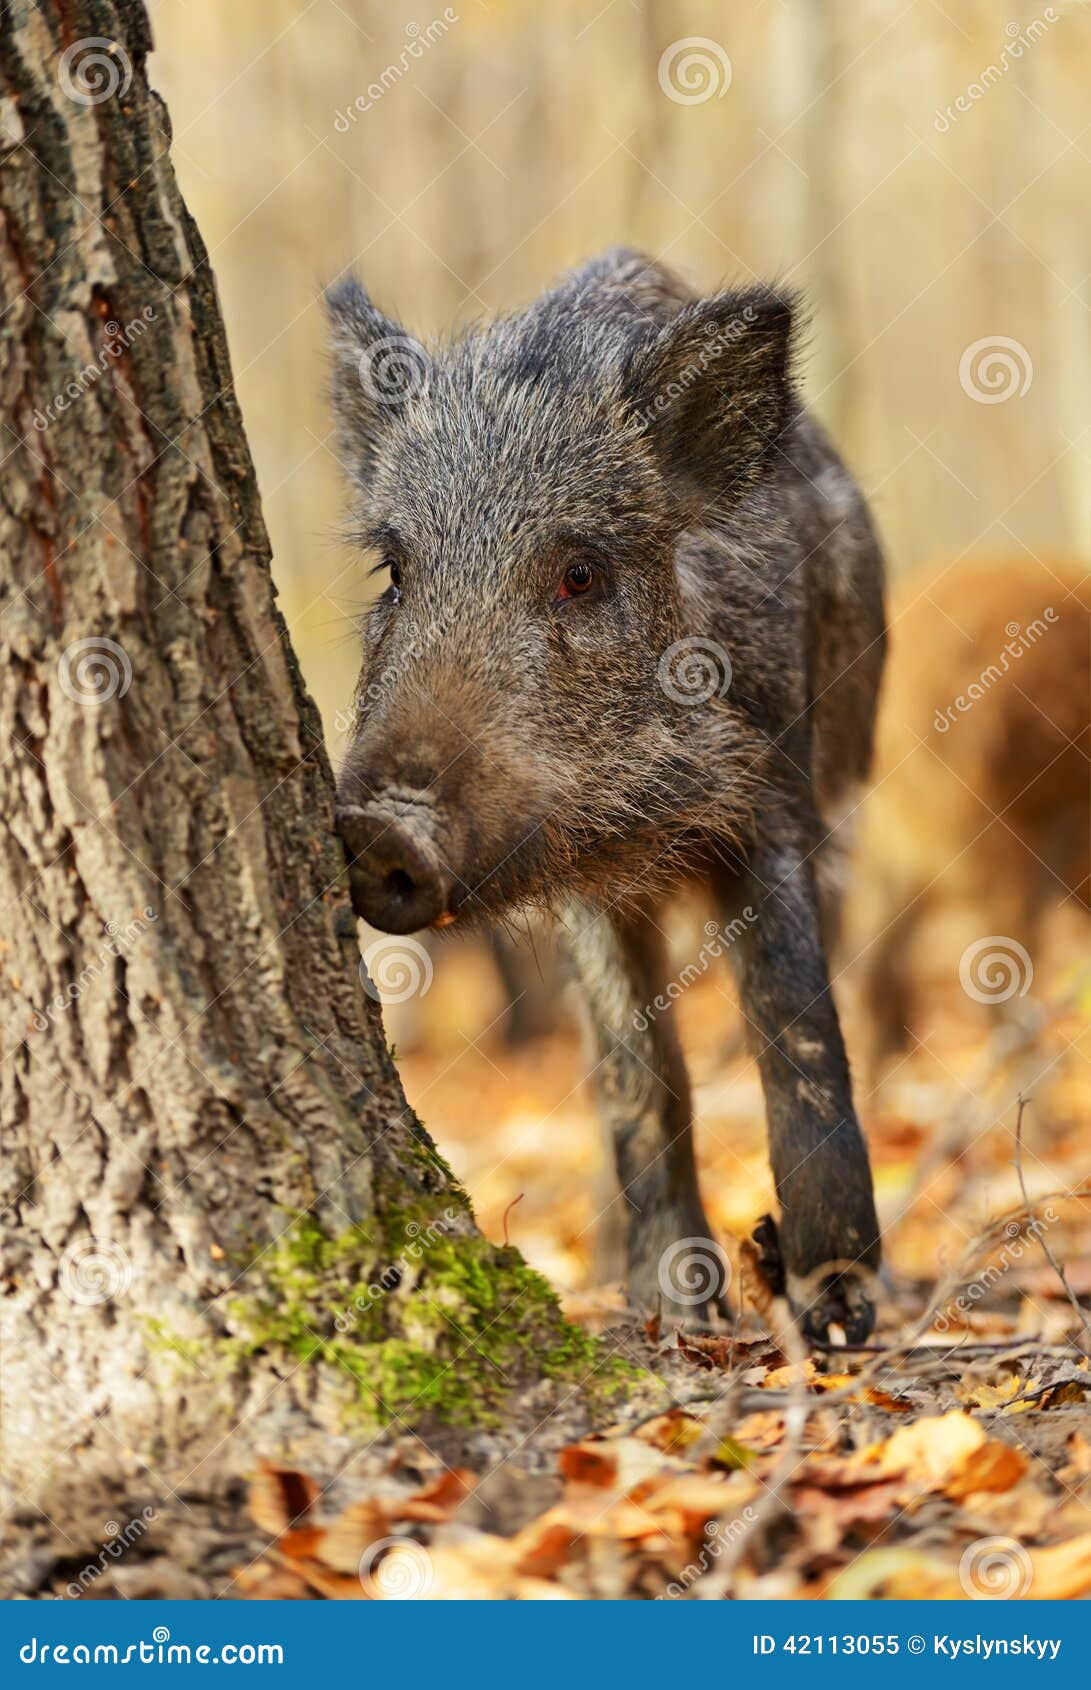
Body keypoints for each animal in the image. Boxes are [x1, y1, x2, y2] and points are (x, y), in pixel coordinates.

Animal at [327, 248, 886, 1341]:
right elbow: (638, 1068)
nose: (380, 830)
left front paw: (836, 1312)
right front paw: (672, 1310)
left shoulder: (776, 796)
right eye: (396, 570)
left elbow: (794, 1022)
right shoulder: (584, 880)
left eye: (579, 573)